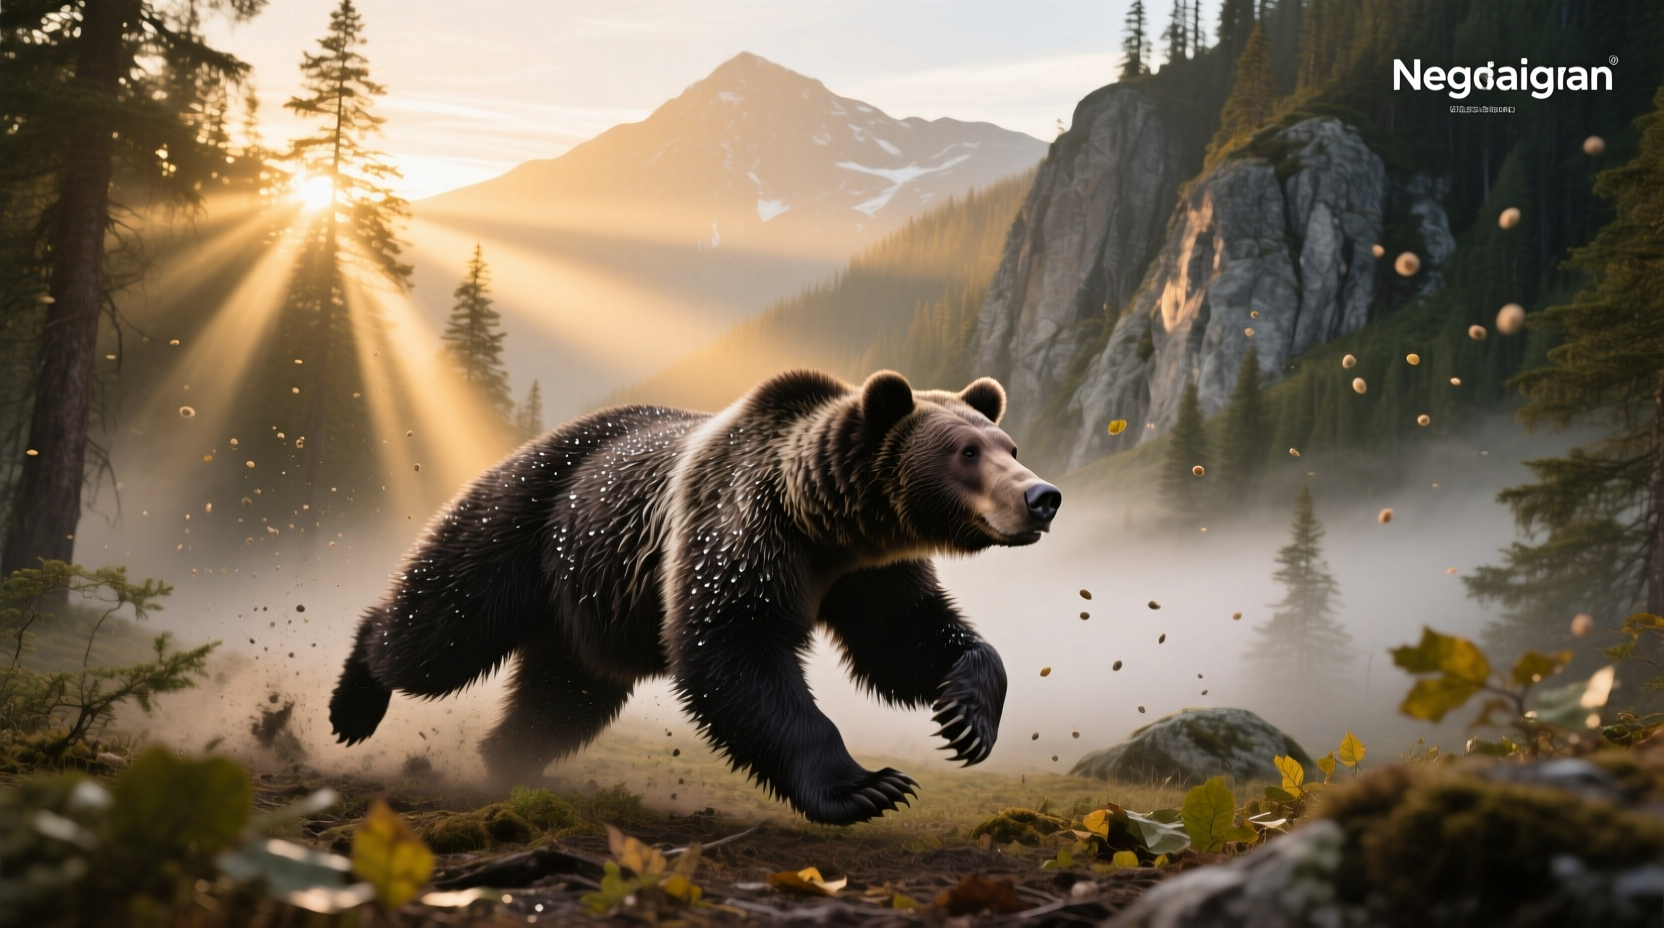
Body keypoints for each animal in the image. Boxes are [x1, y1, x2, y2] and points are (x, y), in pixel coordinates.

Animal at [329, 369, 1061, 824]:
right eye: (967, 452)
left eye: (1009, 443)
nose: (1042, 496)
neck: (825, 524)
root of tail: (531, 442)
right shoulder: (741, 529)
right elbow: (735, 650)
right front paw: (867, 786)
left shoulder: (867, 573)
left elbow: (906, 639)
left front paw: (965, 717)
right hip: (525, 523)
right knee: (441, 631)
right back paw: (354, 700)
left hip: (593, 613)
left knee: (562, 699)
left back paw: (505, 761)